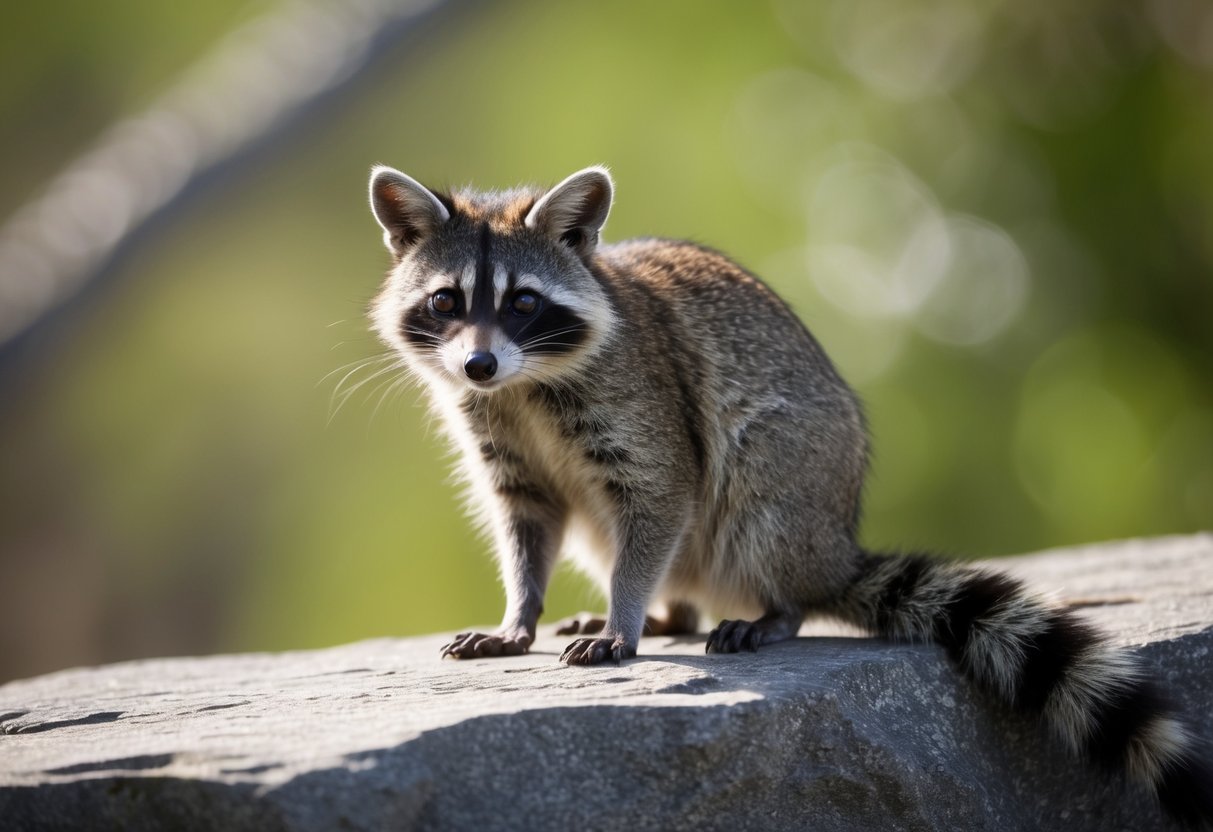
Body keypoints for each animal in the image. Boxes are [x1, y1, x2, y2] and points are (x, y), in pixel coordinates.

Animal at [366, 164, 1211, 825]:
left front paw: (626, 617)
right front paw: (521, 613)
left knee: (752, 494)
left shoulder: (642, 398)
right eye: (445, 301)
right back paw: (674, 610)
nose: (477, 365)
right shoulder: (499, 435)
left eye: (522, 302)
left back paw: (768, 607)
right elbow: (527, 520)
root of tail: (833, 545)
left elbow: (662, 493)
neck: (522, 384)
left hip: (794, 473)